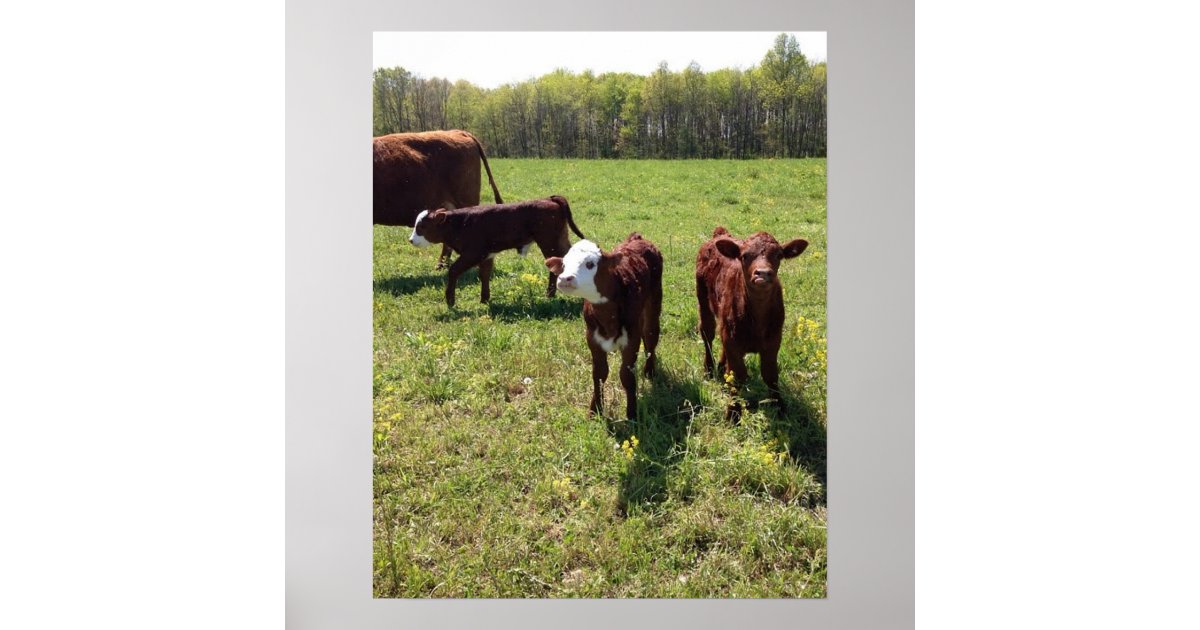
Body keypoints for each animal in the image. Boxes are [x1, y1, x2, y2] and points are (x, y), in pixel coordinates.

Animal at [408, 196, 586, 307]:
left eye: (422, 227)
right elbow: (484, 275)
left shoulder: (473, 253)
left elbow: (453, 271)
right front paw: (484, 300)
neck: (459, 224)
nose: (411, 240)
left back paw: (550, 294)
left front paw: (450, 301)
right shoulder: (486, 256)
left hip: (549, 243)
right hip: (559, 241)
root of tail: (549, 199)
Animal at [545, 234, 663, 420]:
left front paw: (632, 414)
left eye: (590, 264)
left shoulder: (631, 338)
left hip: (654, 302)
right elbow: (599, 374)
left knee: (651, 335)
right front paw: (595, 410)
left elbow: (627, 376)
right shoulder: (592, 338)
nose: (564, 279)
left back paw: (649, 371)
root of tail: (637, 237)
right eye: (564, 265)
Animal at [695, 226, 809, 420]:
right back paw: (709, 369)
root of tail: (720, 234)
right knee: (707, 334)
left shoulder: (773, 340)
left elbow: (770, 374)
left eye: (778, 255)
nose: (763, 273)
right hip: (703, 299)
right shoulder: (733, 342)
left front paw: (780, 408)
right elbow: (737, 375)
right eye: (744, 255)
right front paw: (733, 413)